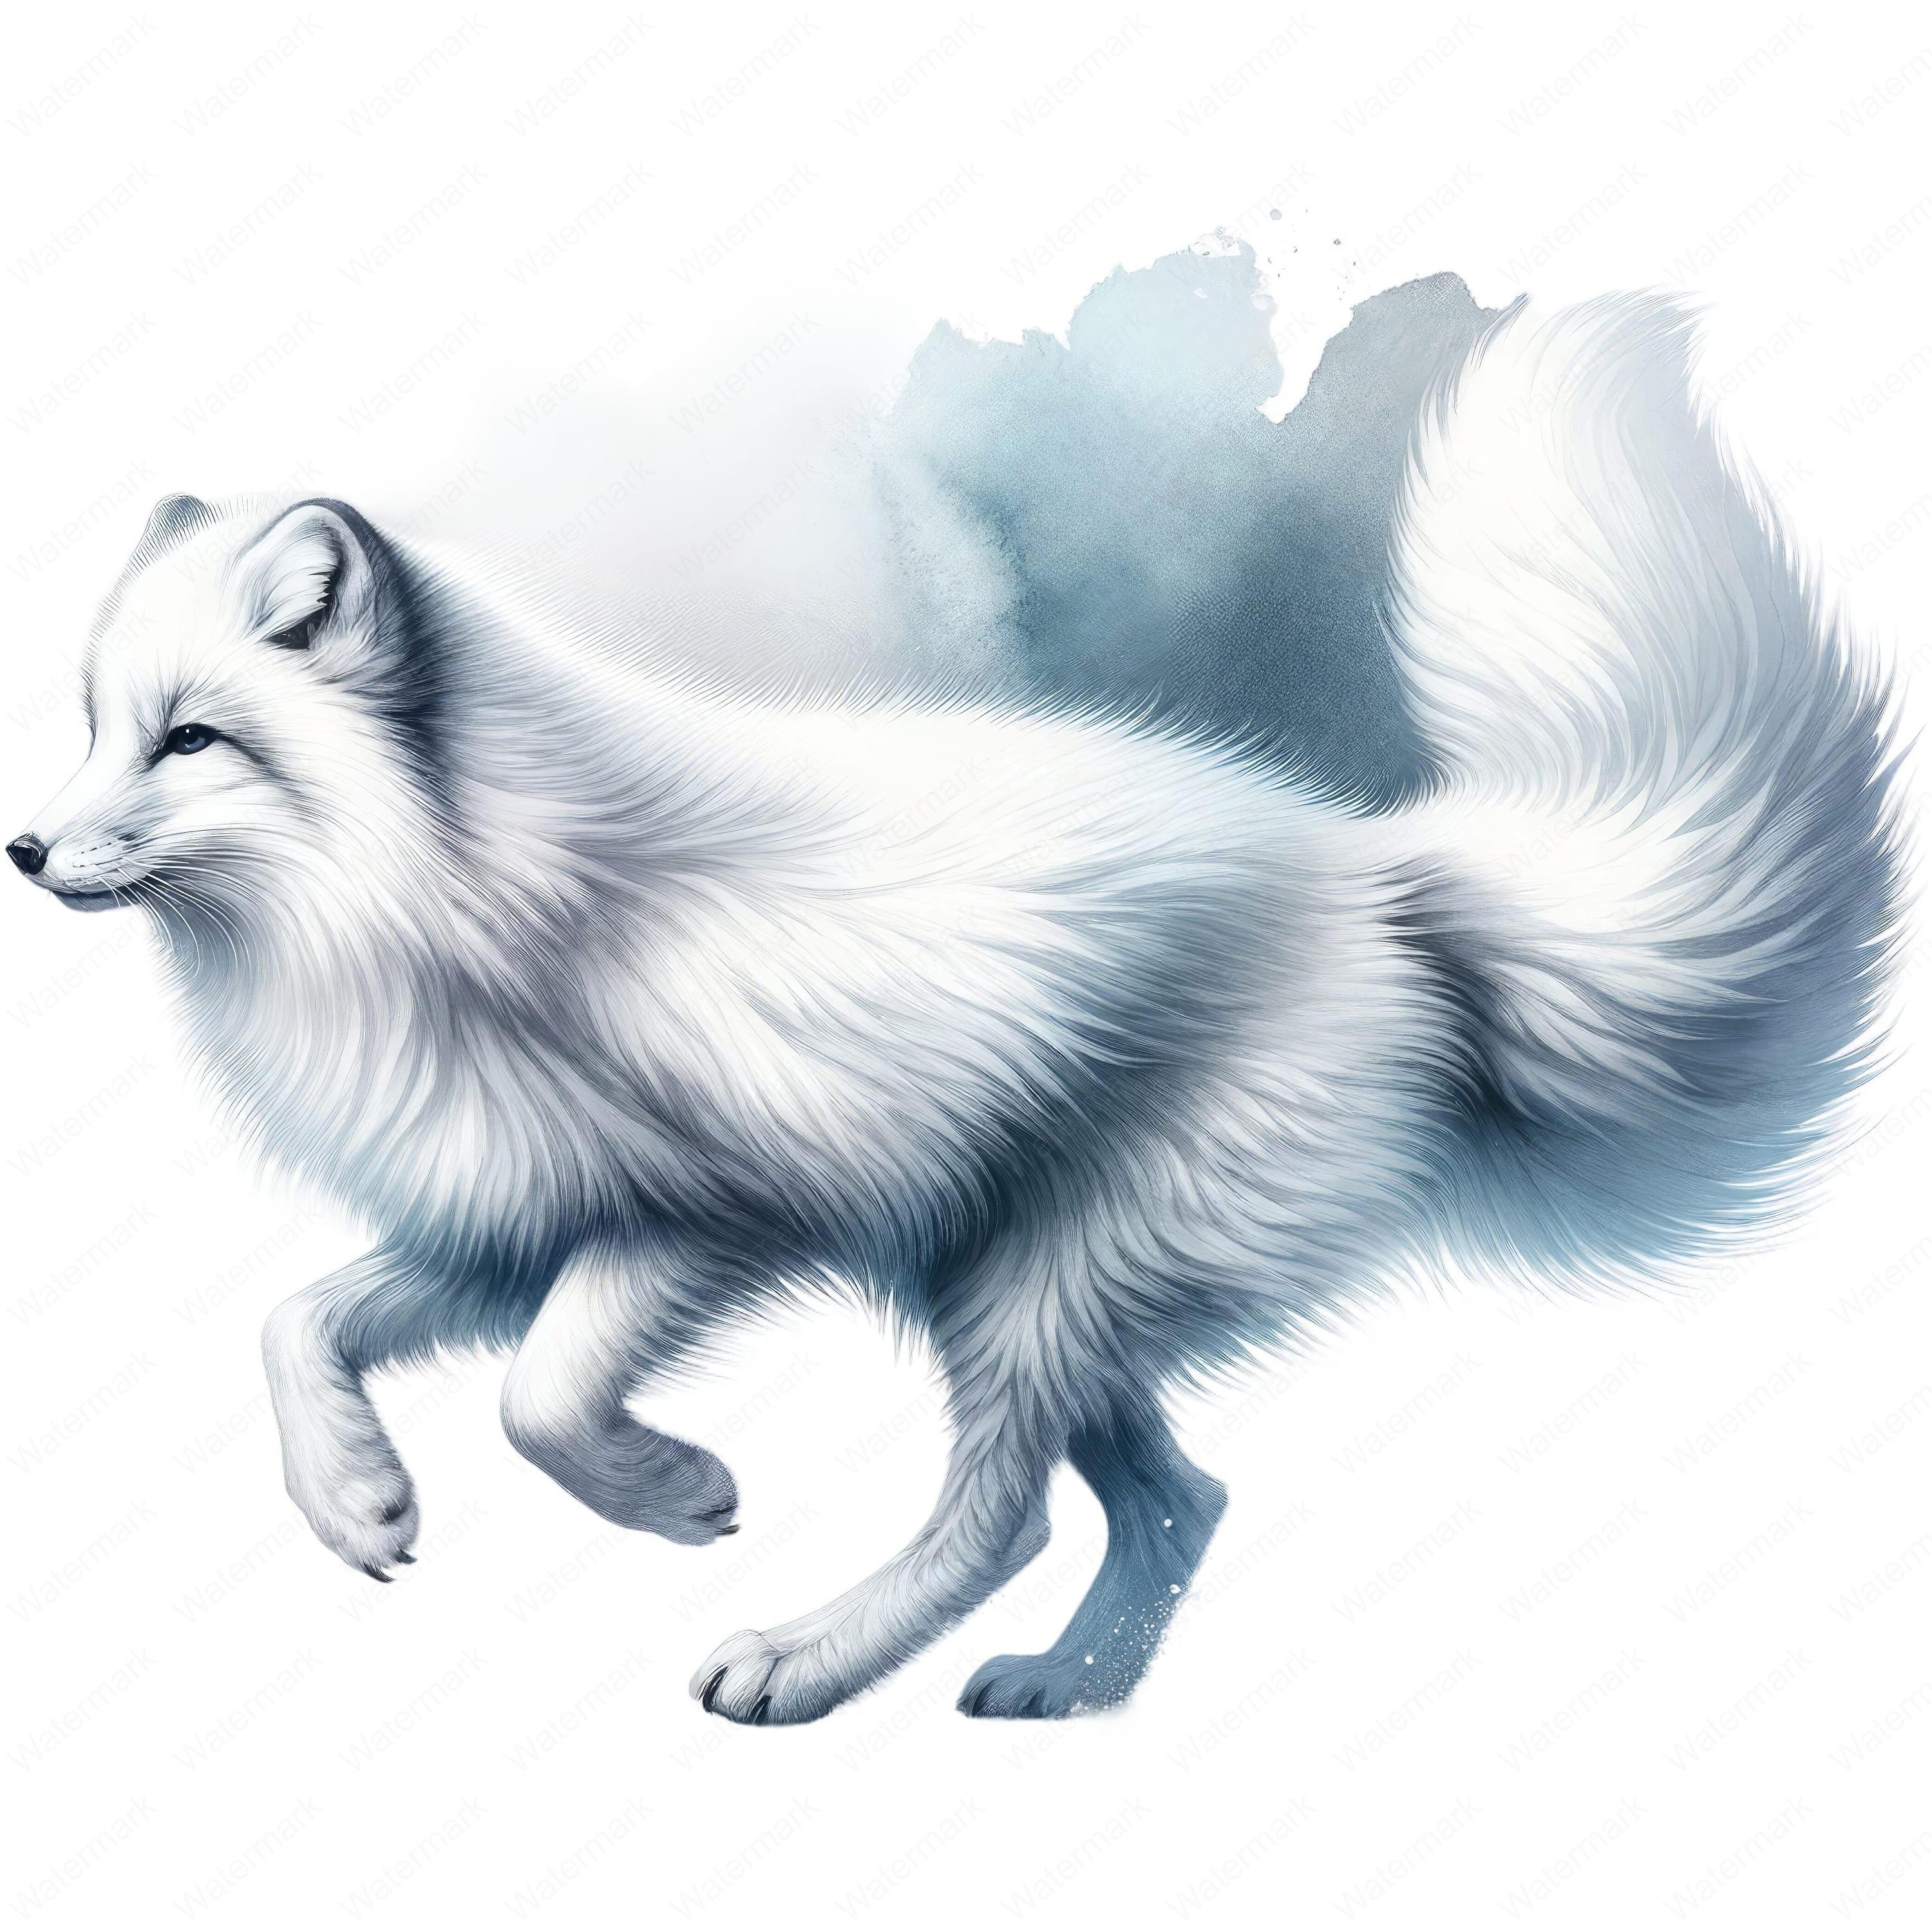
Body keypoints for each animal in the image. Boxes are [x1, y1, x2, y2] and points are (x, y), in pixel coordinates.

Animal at [9, 299, 1901, 1724]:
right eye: (96, 724)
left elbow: (538, 1404)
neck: (443, 896)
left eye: (192, 738)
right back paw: (1069, 1689)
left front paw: (675, 1491)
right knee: (1180, 1497)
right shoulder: (506, 1222)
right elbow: (299, 1321)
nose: (24, 848)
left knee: (1007, 1517)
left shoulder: (704, 1217)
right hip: (1022, 1285)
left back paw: (805, 1661)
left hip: (1028, 1290)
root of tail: (1376, 876)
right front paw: (356, 1499)